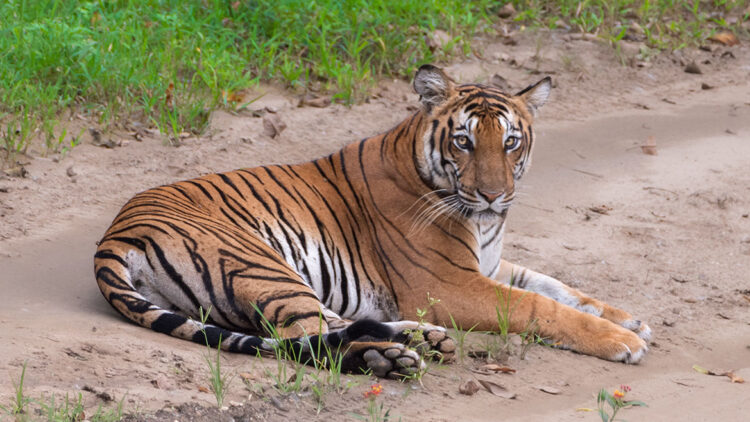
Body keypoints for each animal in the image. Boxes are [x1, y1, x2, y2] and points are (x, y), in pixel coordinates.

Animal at [94, 64, 650, 378]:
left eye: (511, 142)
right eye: (464, 141)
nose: (494, 195)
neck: (484, 223)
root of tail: (114, 236)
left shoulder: (489, 267)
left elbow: (561, 288)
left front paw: (629, 319)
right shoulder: (453, 285)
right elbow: (543, 306)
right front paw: (624, 342)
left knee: (336, 325)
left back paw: (420, 341)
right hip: (261, 264)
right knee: (309, 341)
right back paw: (389, 360)